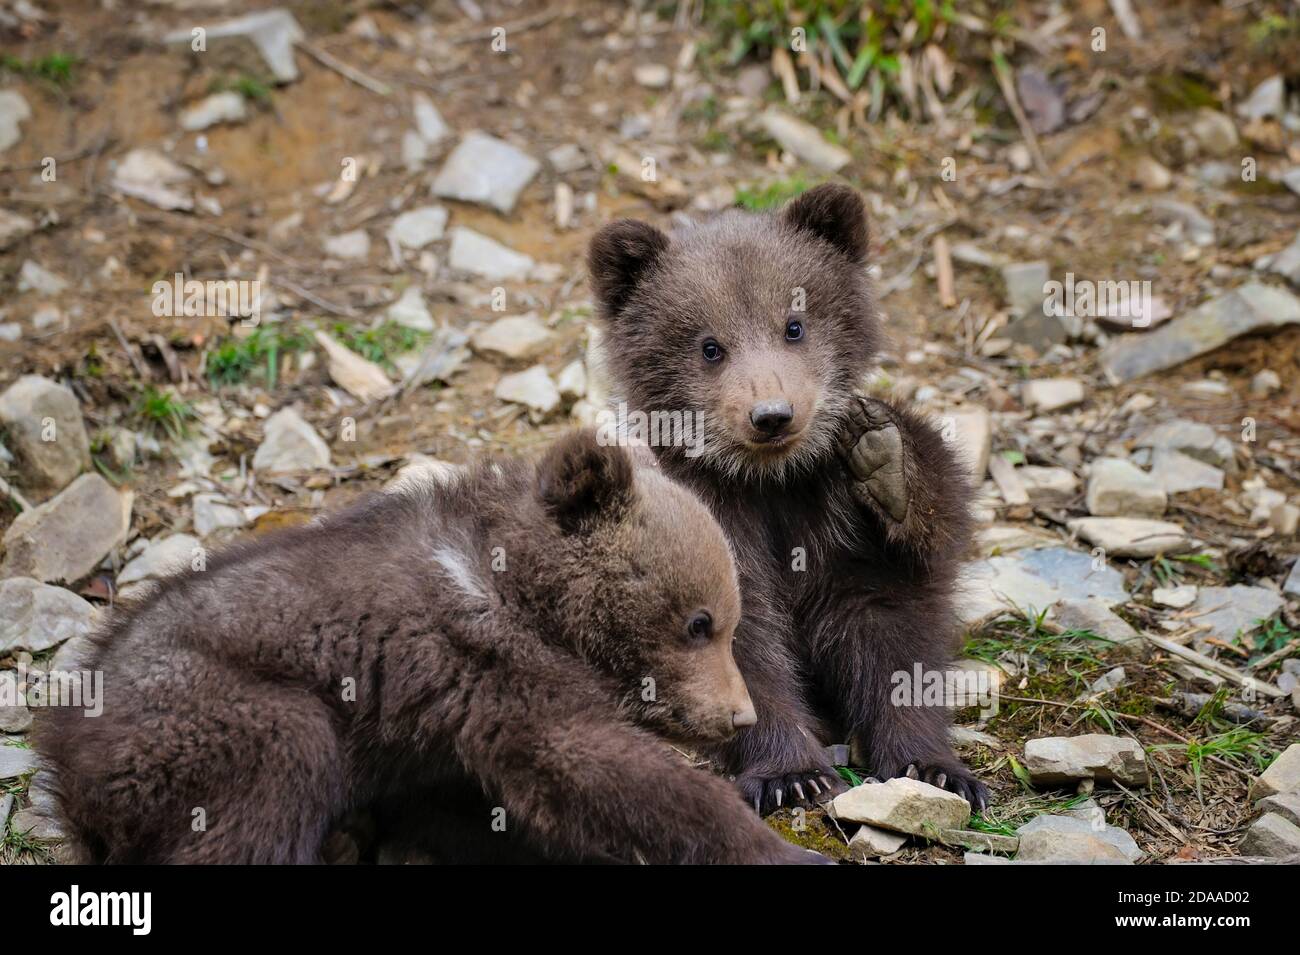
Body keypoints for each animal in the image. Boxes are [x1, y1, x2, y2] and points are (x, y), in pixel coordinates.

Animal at [34, 430, 826, 864]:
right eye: (701, 622)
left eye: (728, 620)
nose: (740, 715)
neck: (534, 595)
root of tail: (65, 758)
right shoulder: (495, 666)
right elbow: (593, 767)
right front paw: (779, 849)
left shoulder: (441, 736)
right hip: (211, 712)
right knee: (265, 783)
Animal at [587, 183, 989, 815]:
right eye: (710, 346)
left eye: (794, 325)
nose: (772, 414)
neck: (771, 480)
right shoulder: (711, 524)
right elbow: (741, 648)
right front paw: (790, 774)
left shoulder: (845, 528)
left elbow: (901, 623)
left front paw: (885, 460)